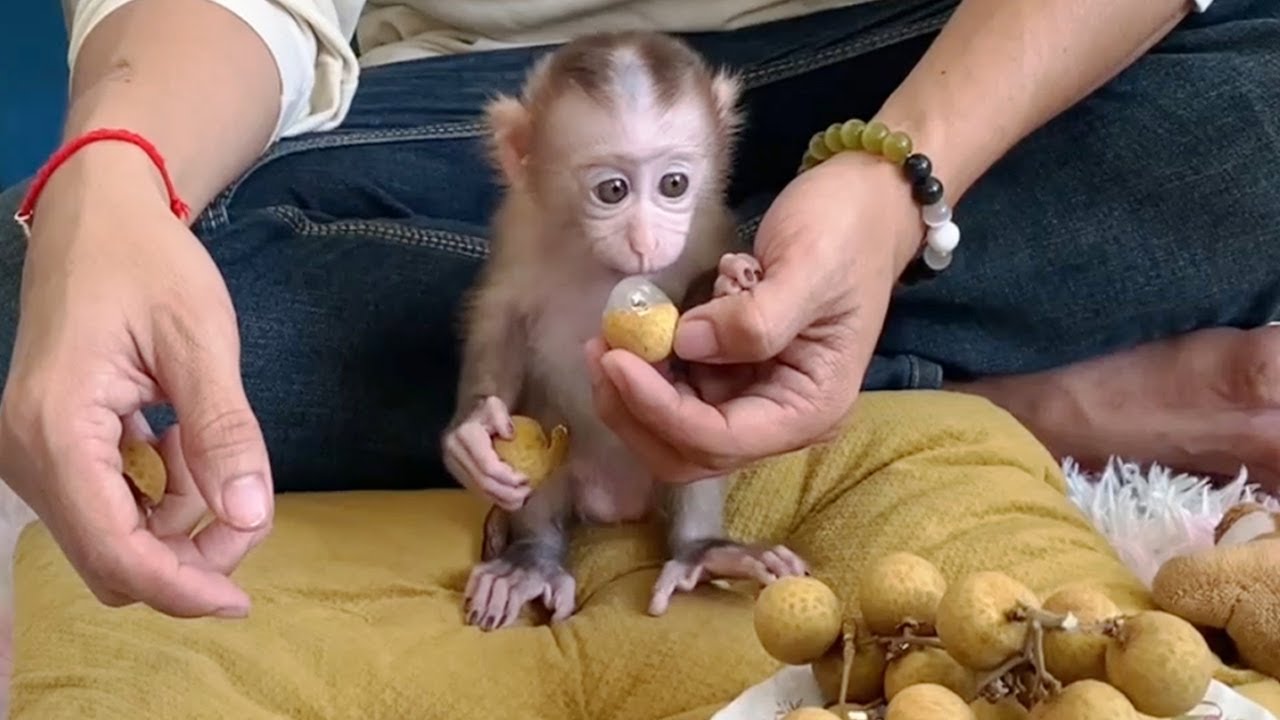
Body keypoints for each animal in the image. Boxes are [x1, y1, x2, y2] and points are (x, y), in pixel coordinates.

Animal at [441, 30, 808, 632]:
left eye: (674, 184)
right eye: (613, 190)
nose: (644, 241)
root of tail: (618, 506)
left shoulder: (708, 226)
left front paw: (728, 286)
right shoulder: (519, 228)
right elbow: (501, 320)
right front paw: (471, 431)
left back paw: (703, 550)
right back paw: (533, 559)